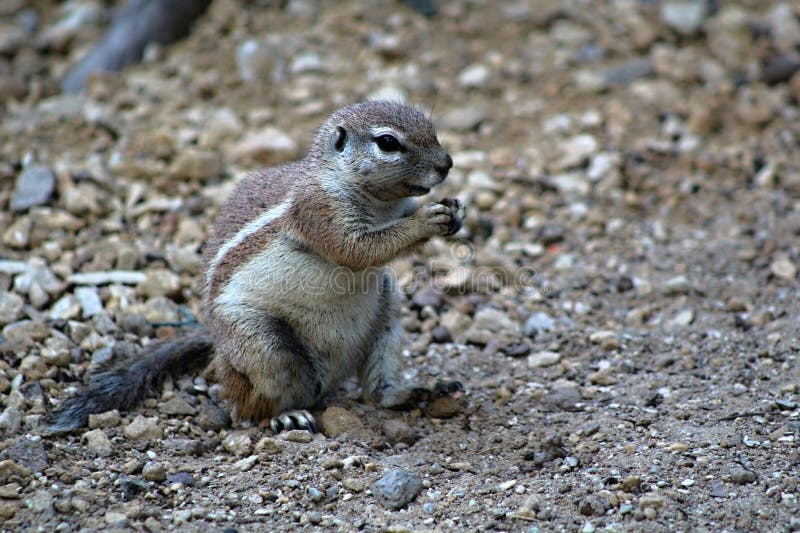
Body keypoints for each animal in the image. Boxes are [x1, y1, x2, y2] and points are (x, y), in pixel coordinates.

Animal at [48, 101, 466, 435]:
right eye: (388, 143)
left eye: (431, 128)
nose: (446, 165)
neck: (377, 202)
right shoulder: (318, 211)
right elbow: (357, 248)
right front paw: (425, 221)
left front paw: (456, 212)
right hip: (263, 345)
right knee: (247, 407)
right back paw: (284, 416)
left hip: (387, 313)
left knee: (376, 387)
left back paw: (411, 391)